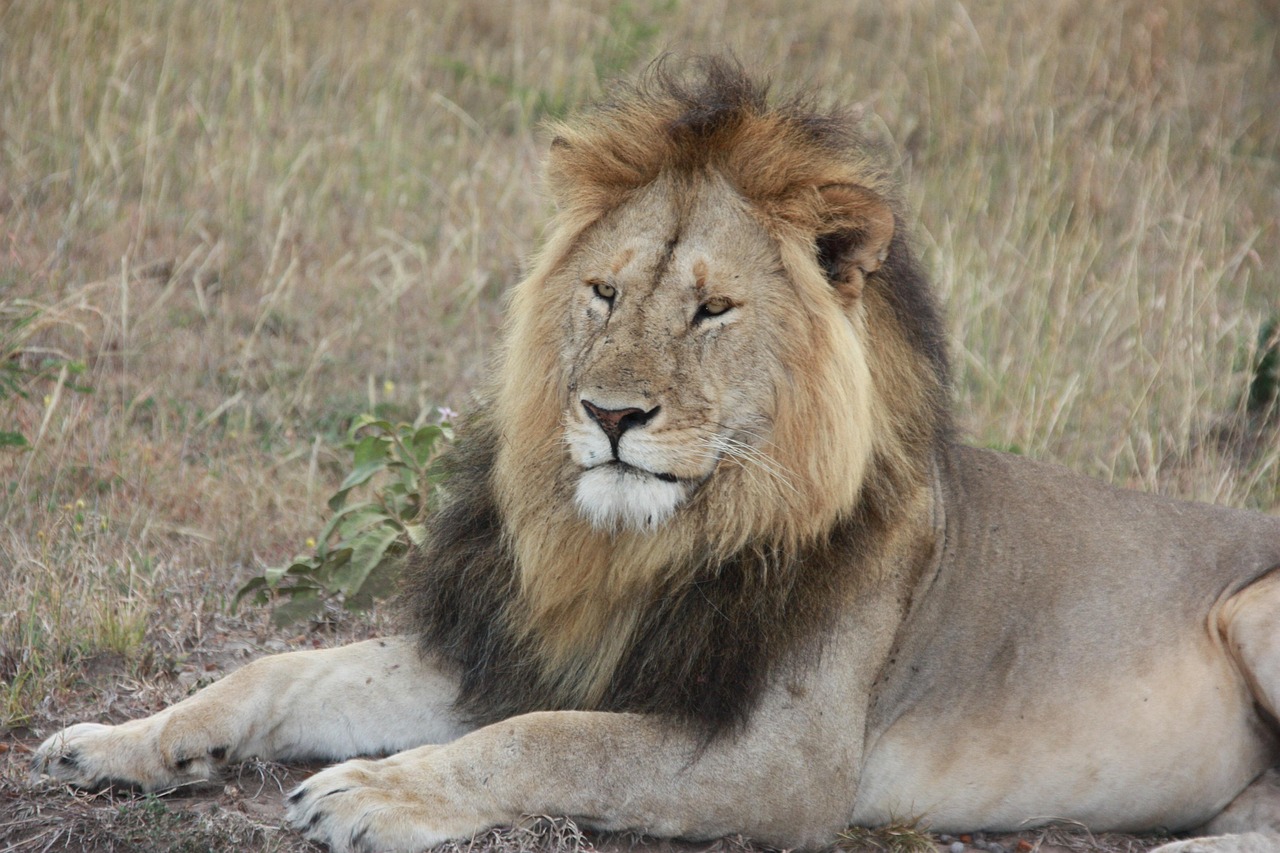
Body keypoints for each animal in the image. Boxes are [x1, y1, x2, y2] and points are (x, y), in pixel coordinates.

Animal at [31, 58, 1280, 853]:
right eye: (603, 290)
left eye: (712, 309)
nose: (610, 413)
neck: (634, 550)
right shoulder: (521, 647)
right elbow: (277, 670)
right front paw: (123, 742)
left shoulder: (783, 761)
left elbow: (549, 743)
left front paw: (373, 793)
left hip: (1252, 605)